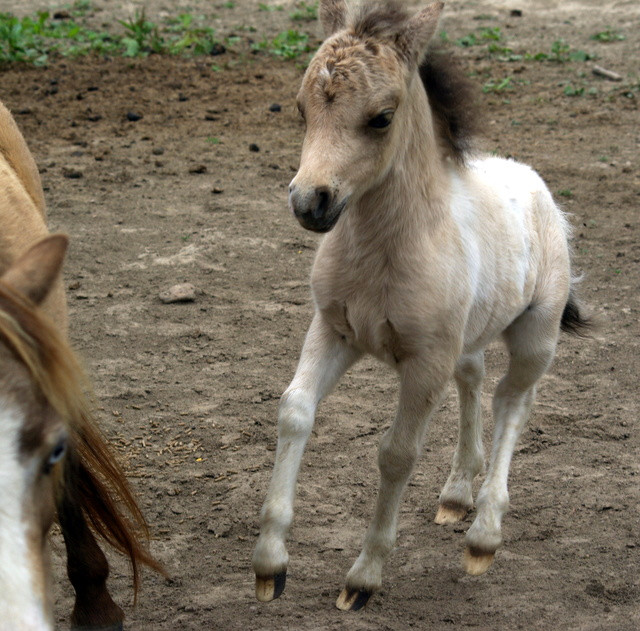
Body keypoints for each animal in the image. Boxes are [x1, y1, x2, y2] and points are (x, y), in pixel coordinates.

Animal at [252, 0, 590, 611]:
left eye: (381, 117)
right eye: (300, 108)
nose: (310, 202)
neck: (386, 249)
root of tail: (532, 180)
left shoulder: (425, 362)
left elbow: (397, 453)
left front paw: (362, 578)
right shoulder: (332, 331)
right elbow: (294, 411)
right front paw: (270, 564)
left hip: (536, 336)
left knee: (513, 402)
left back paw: (484, 533)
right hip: (468, 335)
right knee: (475, 379)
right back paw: (457, 493)